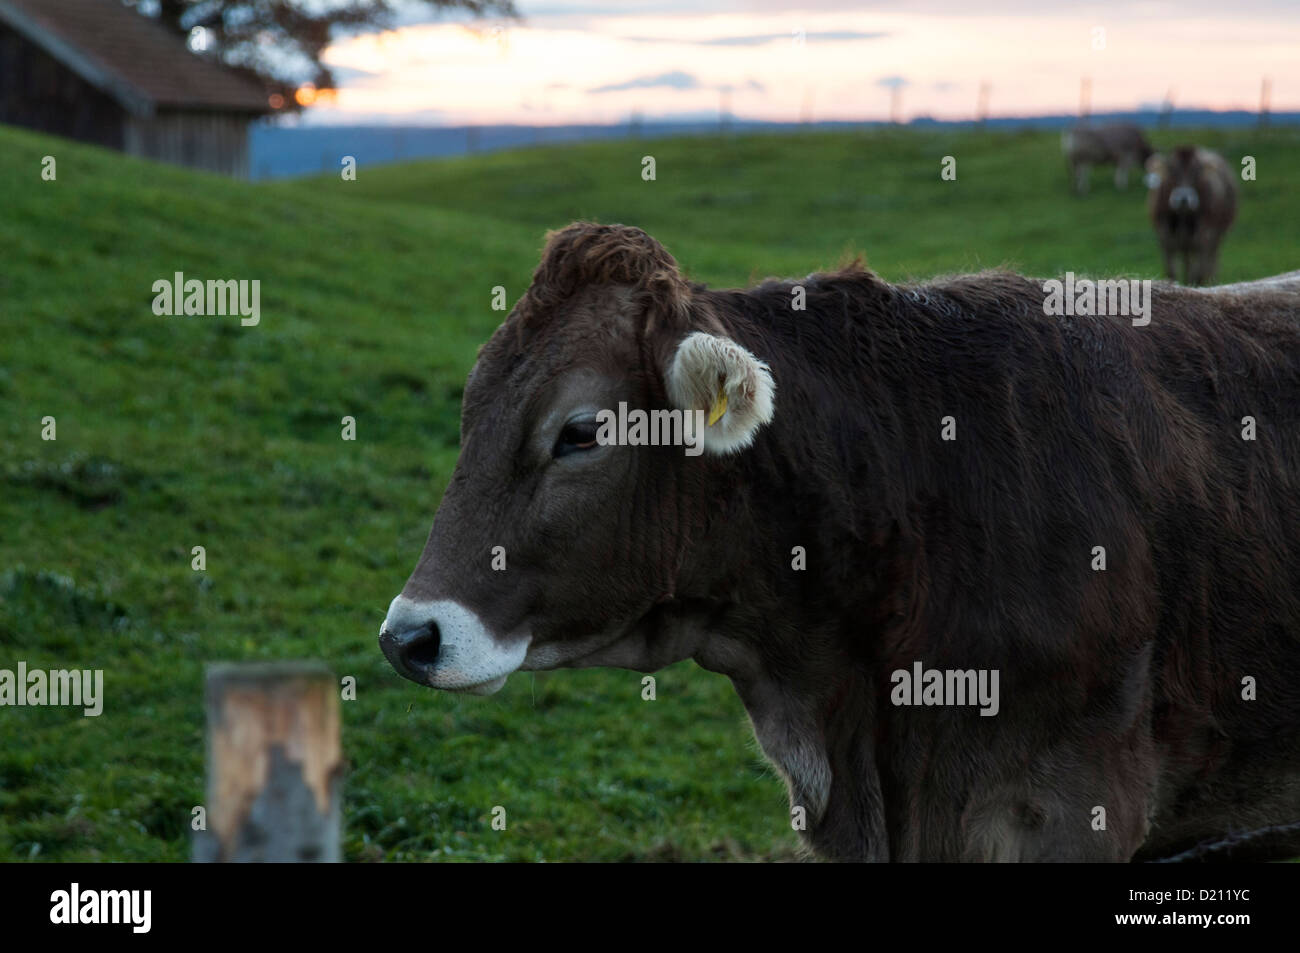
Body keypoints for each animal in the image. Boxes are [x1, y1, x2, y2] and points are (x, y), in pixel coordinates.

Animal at [1146, 146, 1238, 286]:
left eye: (1196, 172)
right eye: (1172, 170)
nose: (1184, 198)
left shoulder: (1203, 237)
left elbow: (1199, 273)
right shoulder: (1165, 237)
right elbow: (1171, 271)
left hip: (1218, 236)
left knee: (1212, 260)